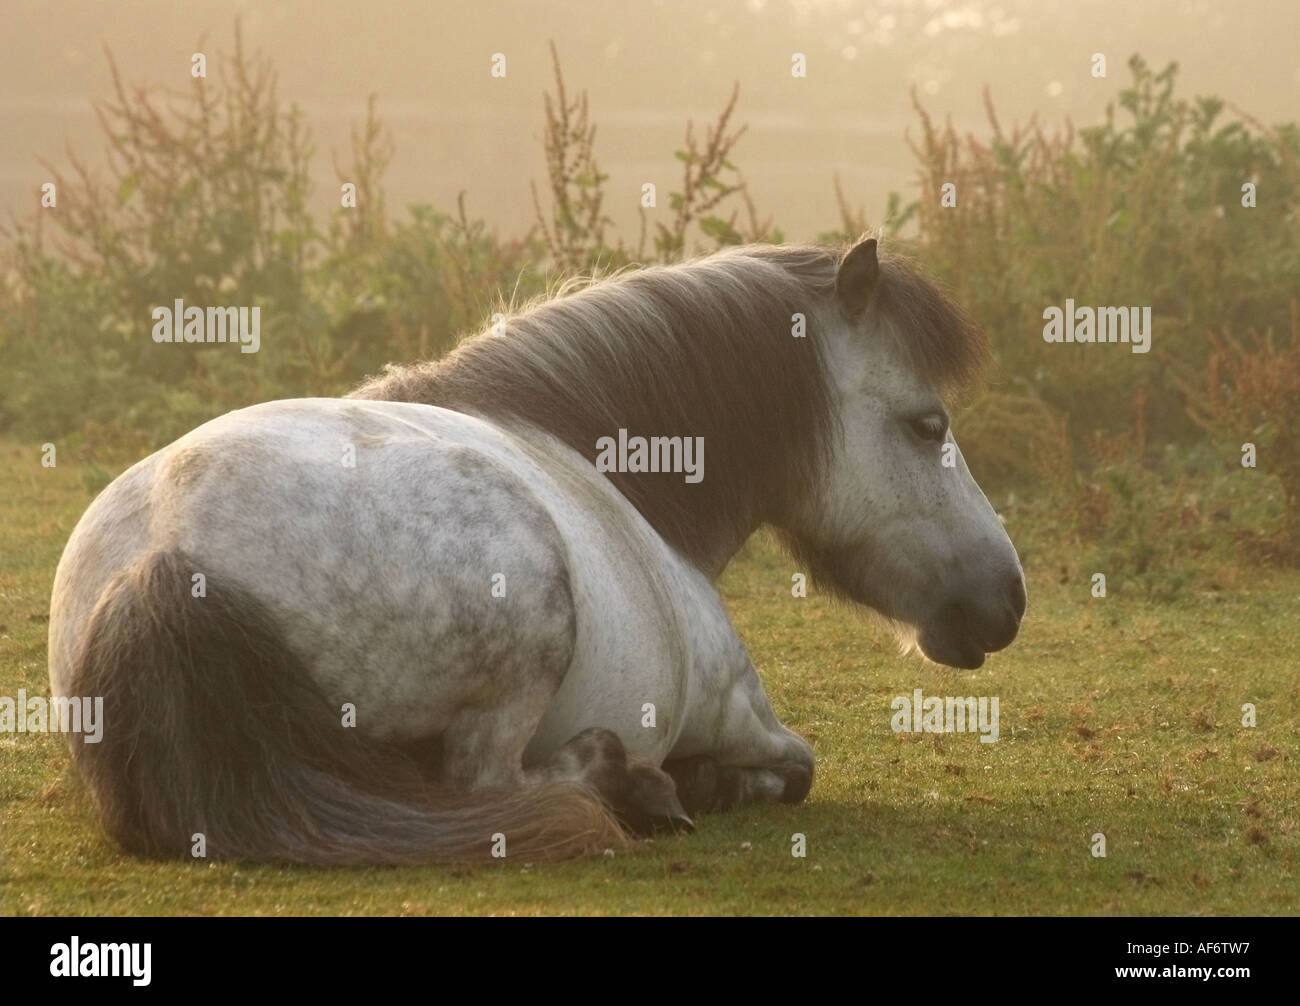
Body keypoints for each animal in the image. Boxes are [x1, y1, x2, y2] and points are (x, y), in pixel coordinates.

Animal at [47, 237, 1026, 864]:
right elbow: (797, 770)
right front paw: (695, 783)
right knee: (487, 780)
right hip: (531, 626)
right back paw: (626, 786)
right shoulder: (740, 710)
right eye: (927, 424)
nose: (1008, 597)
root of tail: (165, 556)